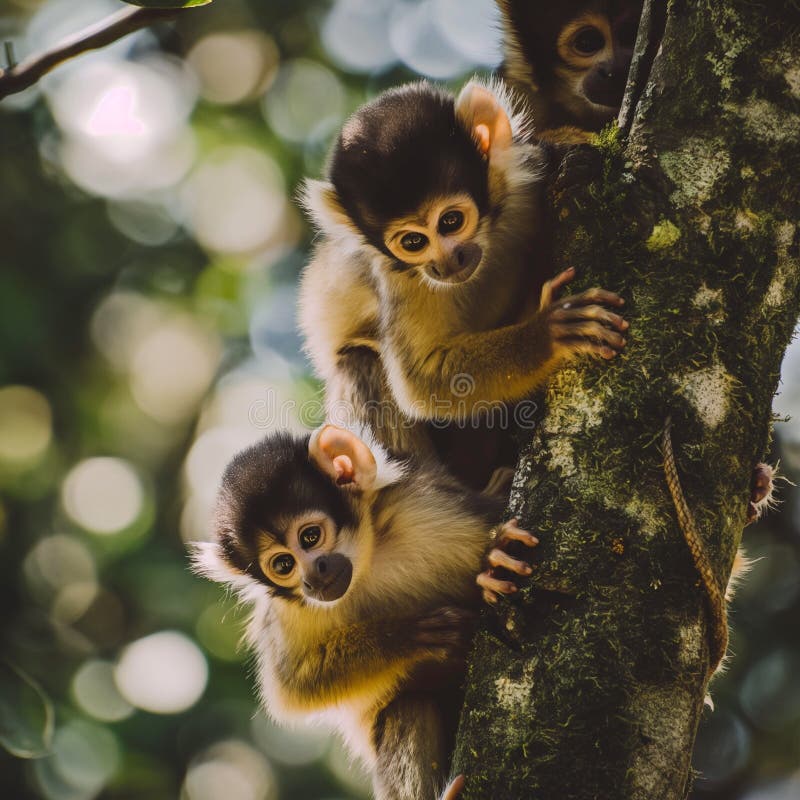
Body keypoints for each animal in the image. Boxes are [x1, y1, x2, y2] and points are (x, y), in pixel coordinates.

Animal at [193, 424, 538, 800]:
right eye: (284, 565)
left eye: (310, 536)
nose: (314, 576)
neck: (369, 562)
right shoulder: (291, 610)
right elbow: (292, 687)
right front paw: (409, 634)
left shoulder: (421, 506)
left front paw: (495, 557)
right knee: (410, 705)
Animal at [298, 78, 629, 489]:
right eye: (413, 242)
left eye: (451, 221)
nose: (446, 262)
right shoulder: (398, 276)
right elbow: (420, 380)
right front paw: (547, 333)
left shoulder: (520, 183)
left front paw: (572, 154)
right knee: (359, 361)